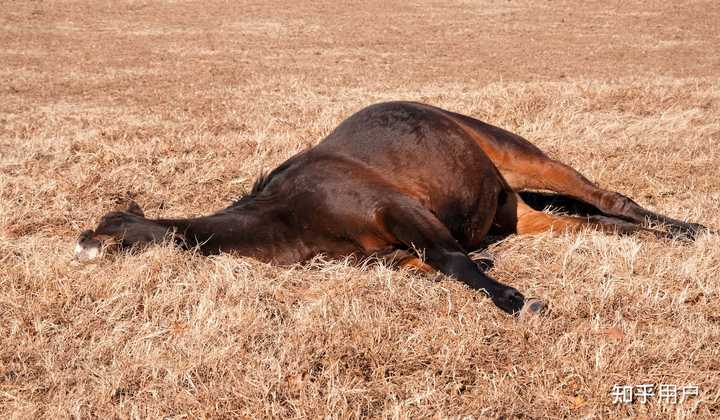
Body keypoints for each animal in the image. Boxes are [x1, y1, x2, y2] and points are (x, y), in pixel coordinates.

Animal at [75, 101, 712, 315]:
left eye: (115, 237)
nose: (80, 248)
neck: (291, 212)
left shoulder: (400, 210)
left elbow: (450, 261)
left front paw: (515, 301)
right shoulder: (381, 254)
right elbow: (429, 263)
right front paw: (498, 278)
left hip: (521, 157)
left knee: (610, 199)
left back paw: (690, 230)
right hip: (523, 212)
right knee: (594, 222)